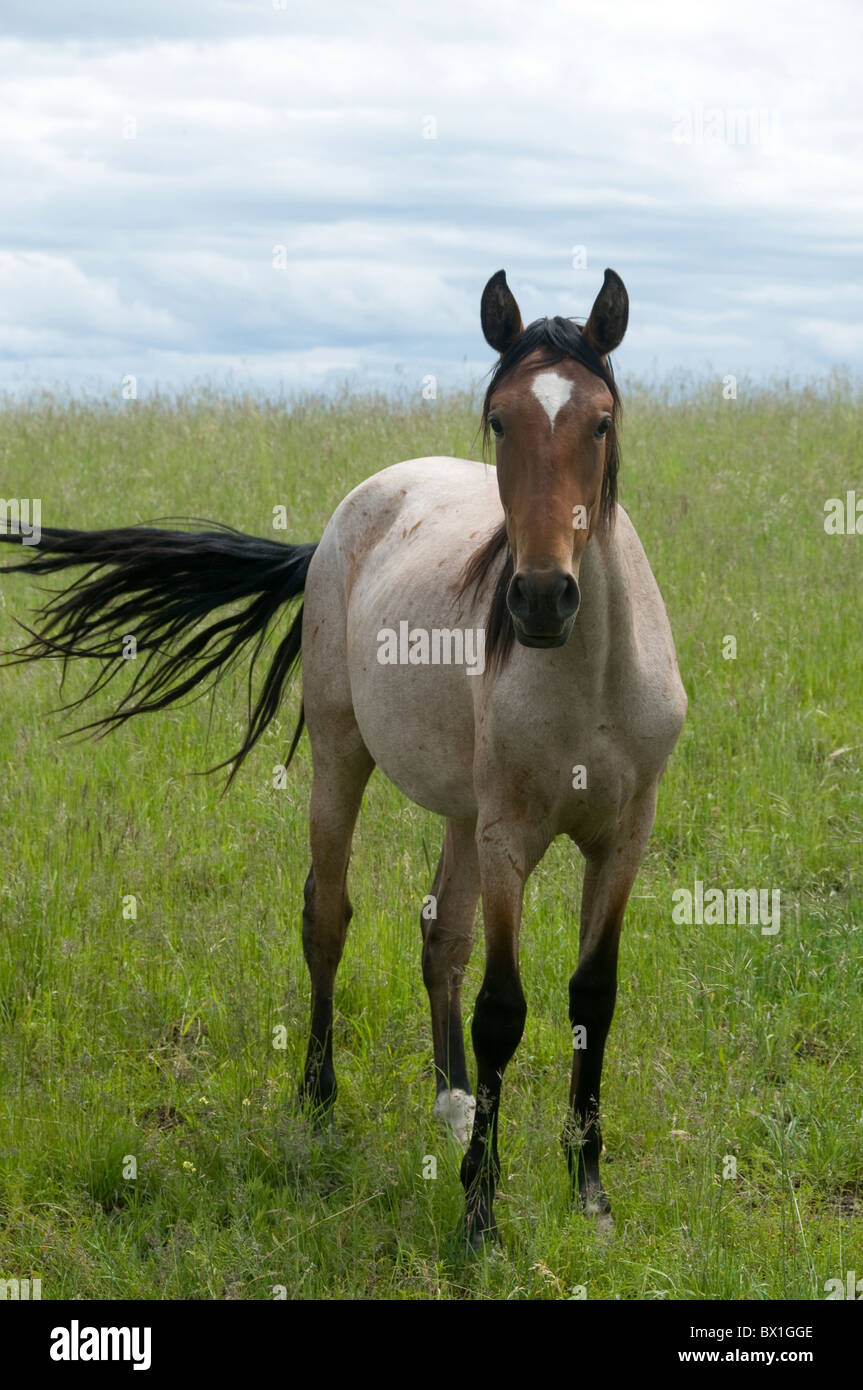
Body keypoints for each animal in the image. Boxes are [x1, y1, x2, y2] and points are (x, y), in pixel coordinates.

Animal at [1, 267, 686, 1247]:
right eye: (499, 420)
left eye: (599, 420)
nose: (541, 597)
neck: (587, 675)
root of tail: (339, 524)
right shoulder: (511, 838)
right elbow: (503, 1011)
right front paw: (481, 1207)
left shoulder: (622, 837)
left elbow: (592, 998)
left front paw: (587, 1188)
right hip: (342, 759)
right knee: (327, 917)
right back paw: (320, 1099)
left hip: (462, 809)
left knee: (441, 937)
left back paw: (452, 1101)